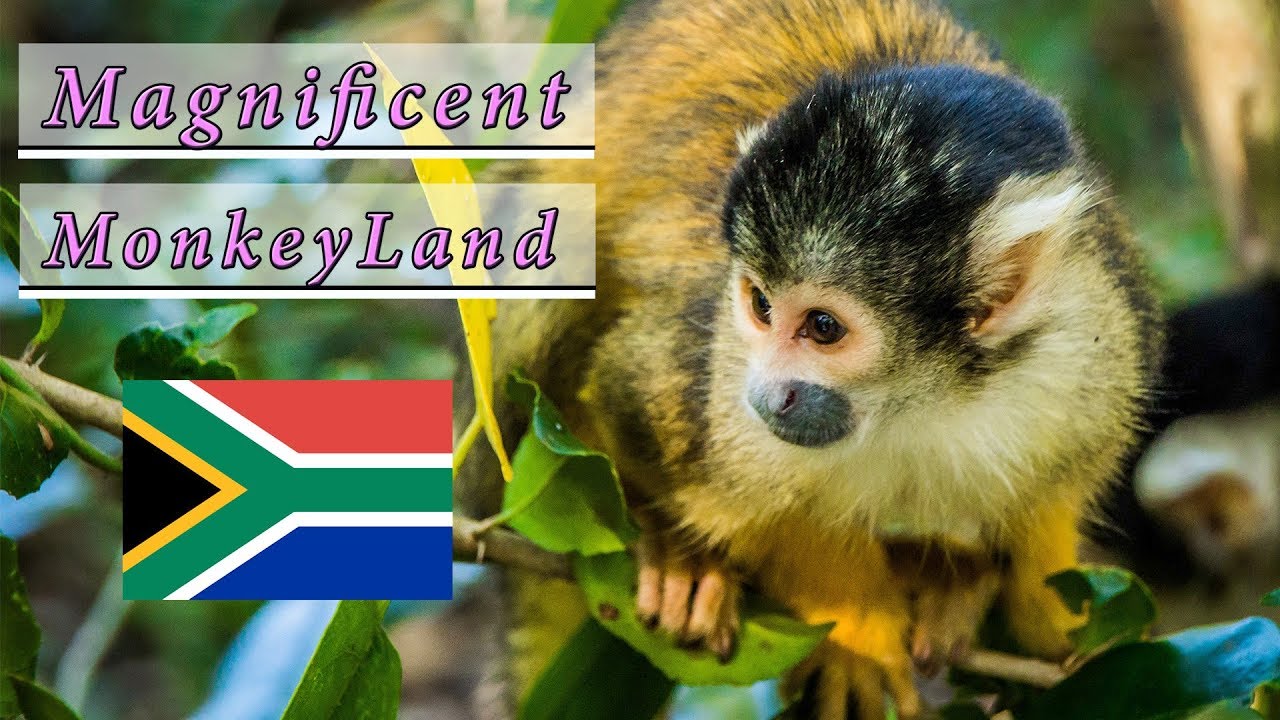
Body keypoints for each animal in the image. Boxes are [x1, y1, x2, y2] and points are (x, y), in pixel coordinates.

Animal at [455, 0, 1164, 717]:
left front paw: (1073, 635)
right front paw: (853, 622)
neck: (929, 394)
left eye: (824, 328)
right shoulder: (709, 383)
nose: (764, 396)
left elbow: (1052, 496)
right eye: (760, 305)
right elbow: (629, 390)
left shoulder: (1096, 346)